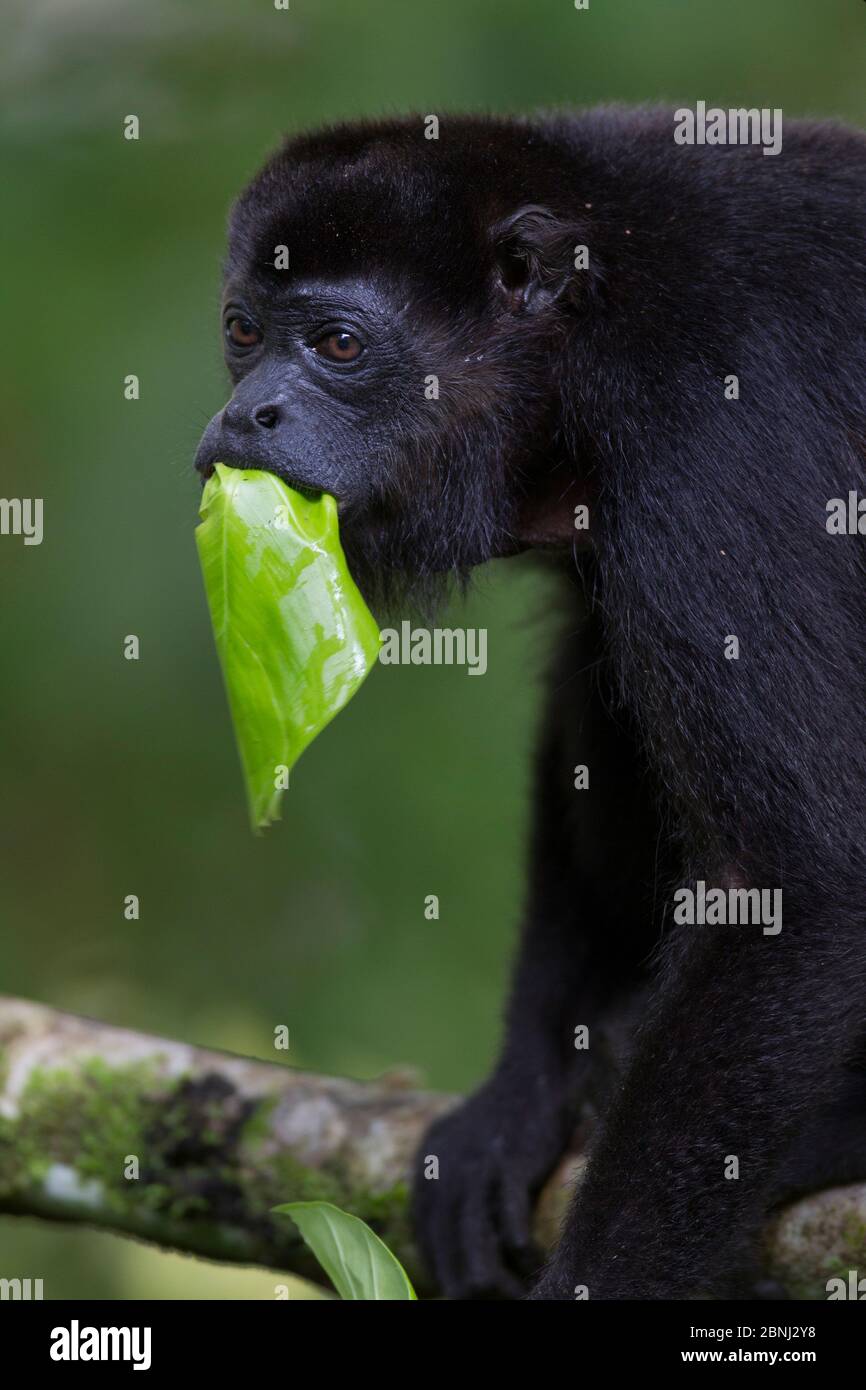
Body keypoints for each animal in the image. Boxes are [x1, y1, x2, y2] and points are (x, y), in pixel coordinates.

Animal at [194, 107, 866, 1300]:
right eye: (242, 330)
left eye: (338, 345)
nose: (242, 413)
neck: (588, 320)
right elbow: (582, 687)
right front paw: (517, 1096)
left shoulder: (710, 427)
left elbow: (793, 877)